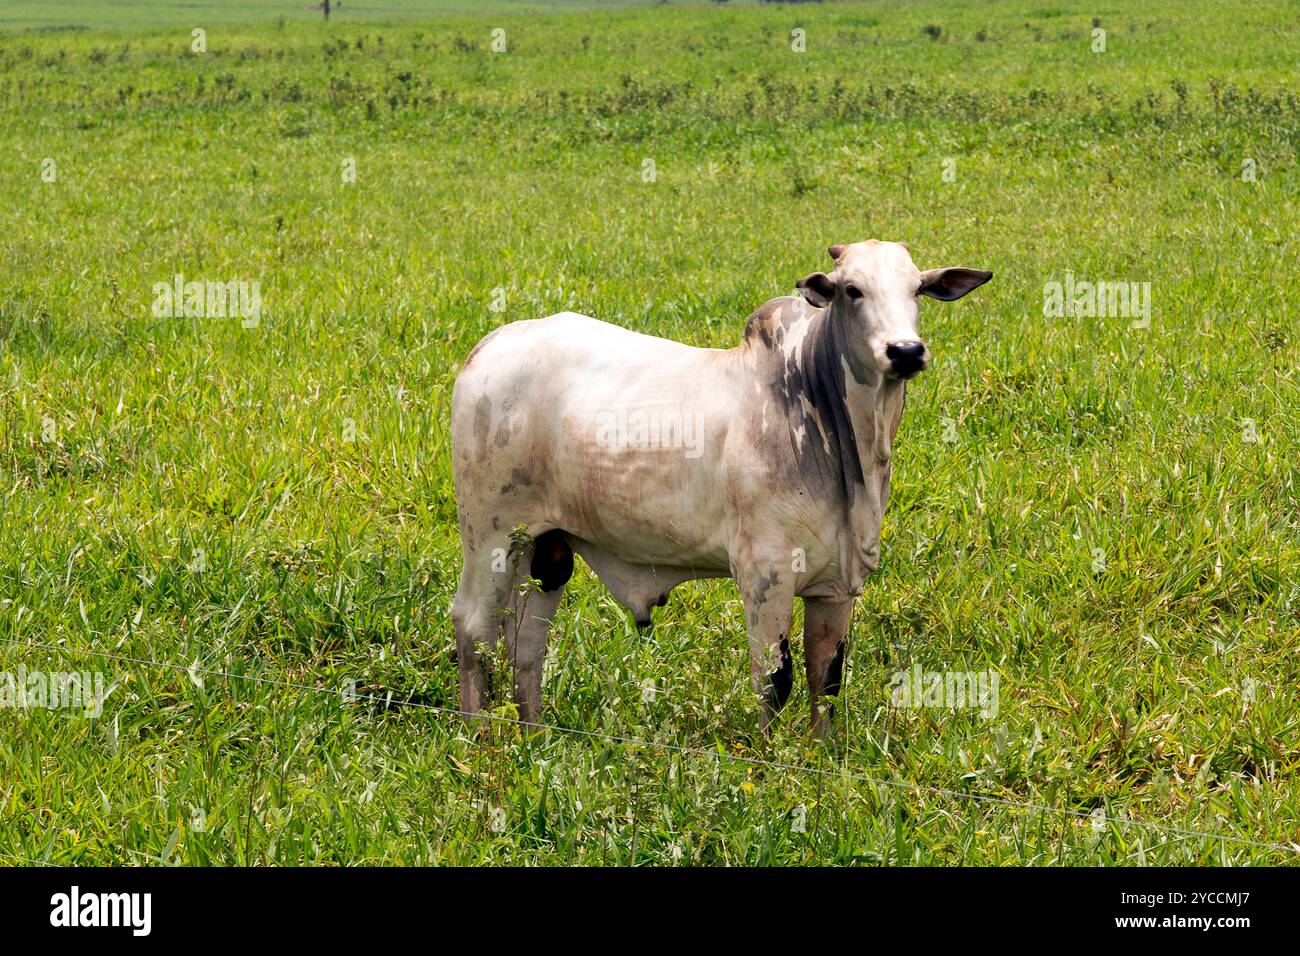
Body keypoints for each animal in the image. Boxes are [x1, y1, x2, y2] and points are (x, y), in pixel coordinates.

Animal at [450, 240, 991, 735]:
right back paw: (479, 738)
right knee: (474, 629)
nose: (905, 351)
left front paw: (823, 758)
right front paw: (771, 763)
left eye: (916, 289)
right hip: (490, 537)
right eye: (852, 290)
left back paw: (534, 734)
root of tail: (491, 344)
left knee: (525, 646)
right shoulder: (764, 575)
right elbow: (775, 682)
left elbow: (827, 681)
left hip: (546, 549)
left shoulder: (837, 587)